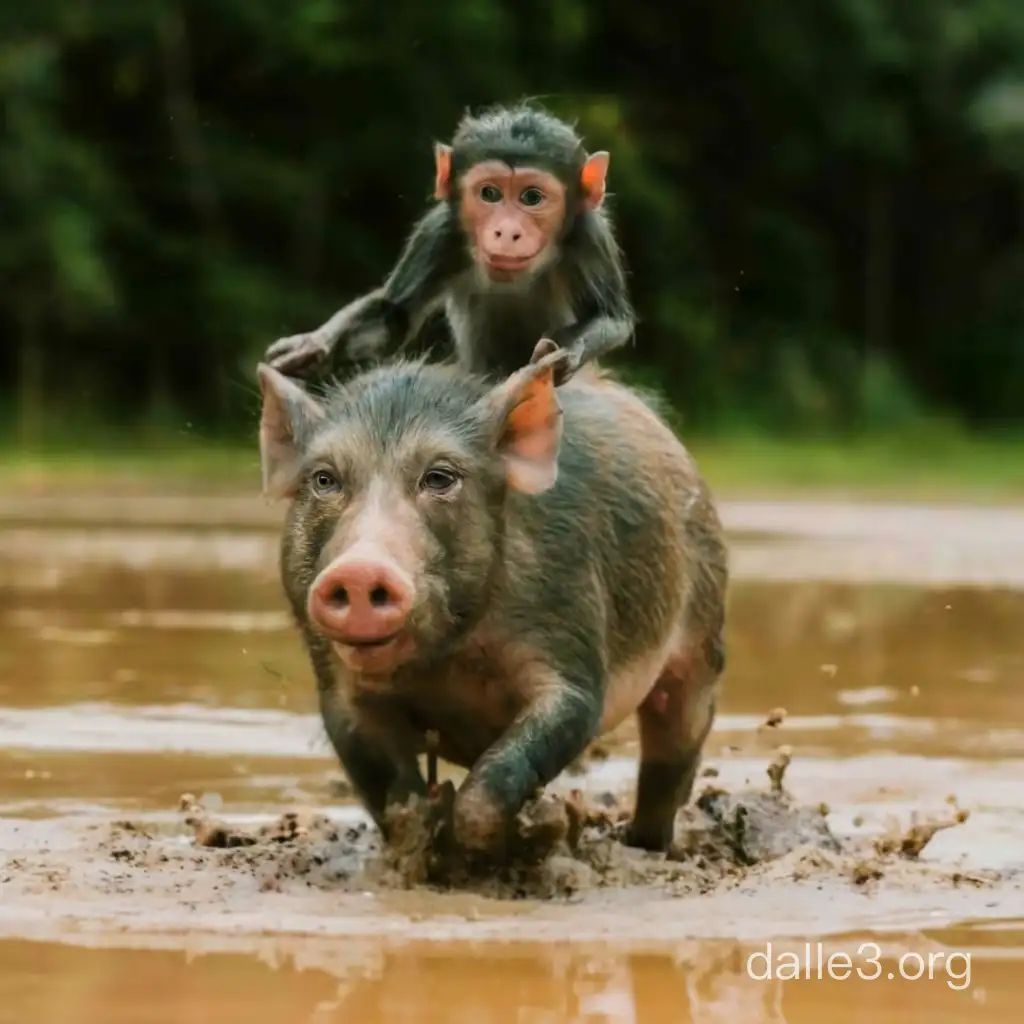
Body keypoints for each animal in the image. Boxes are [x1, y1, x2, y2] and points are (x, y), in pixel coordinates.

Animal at [256, 348, 728, 859]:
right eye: (325, 479)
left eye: (440, 477)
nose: (359, 568)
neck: (448, 660)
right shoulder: (337, 690)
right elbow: (390, 792)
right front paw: (425, 834)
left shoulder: (570, 637)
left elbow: (546, 733)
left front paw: (497, 841)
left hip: (703, 636)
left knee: (674, 745)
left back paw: (644, 846)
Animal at [264, 103, 636, 386]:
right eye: (490, 193)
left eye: (532, 197)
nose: (507, 231)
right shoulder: (438, 233)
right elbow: (392, 316)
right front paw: (316, 344)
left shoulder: (589, 238)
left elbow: (609, 317)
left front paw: (564, 351)